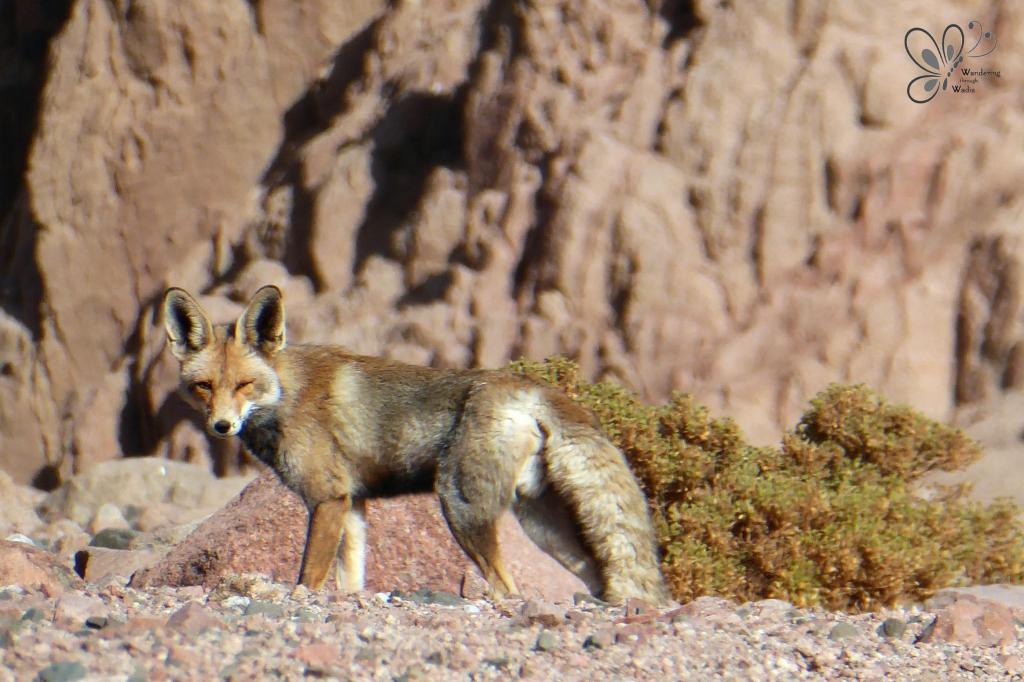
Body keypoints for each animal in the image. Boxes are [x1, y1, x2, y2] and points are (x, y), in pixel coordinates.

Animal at [161, 284, 670, 605]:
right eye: (205, 387)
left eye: (244, 385)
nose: (221, 427)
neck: (287, 393)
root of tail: (528, 387)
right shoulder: (353, 505)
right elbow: (350, 580)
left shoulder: (327, 498)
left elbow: (308, 577)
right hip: (542, 526)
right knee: (597, 574)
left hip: (462, 507)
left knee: (509, 589)